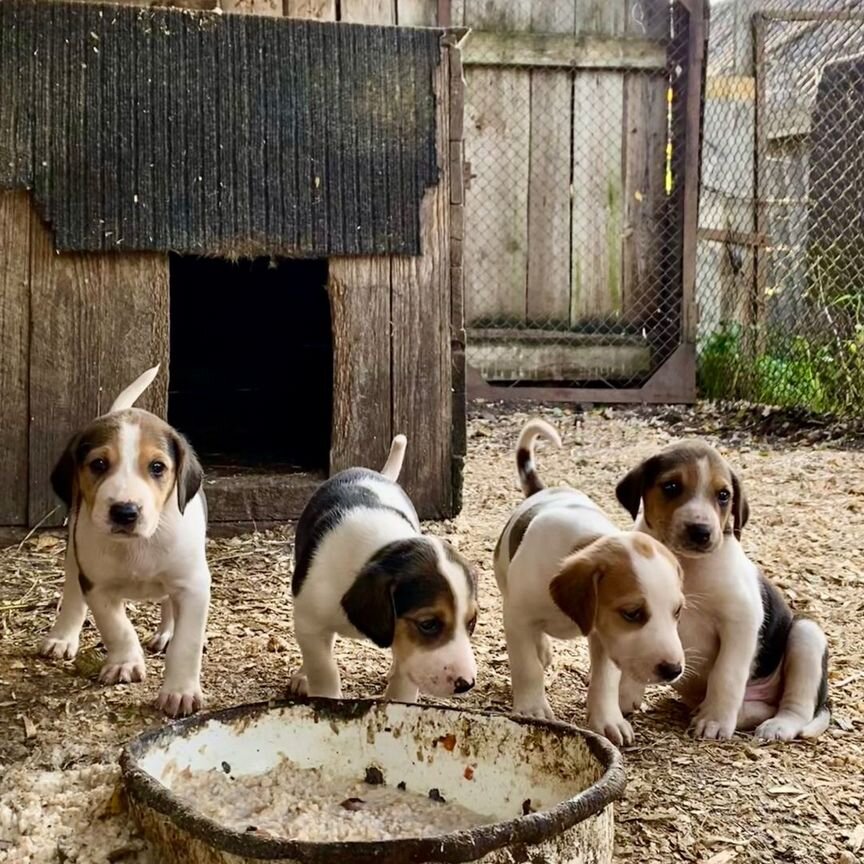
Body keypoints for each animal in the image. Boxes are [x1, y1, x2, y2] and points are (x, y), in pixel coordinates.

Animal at [39, 364, 210, 716]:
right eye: (98, 464)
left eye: (157, 467)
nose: (125, 511)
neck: (137, 546)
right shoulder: (96, 585)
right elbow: (116, 627)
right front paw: (125, 663)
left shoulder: (194, 585)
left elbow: (187, 644)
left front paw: (180, 691)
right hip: (74, 558)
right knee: (73, 597)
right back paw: (62, 636)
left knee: (169, 605)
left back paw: (166, 633)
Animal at [290, 436, 480, 704]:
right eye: (428, 624)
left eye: (471, 622)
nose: (466, 684)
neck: (383, 547)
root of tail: (380, 475)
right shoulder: (309, 623)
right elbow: (323, 669)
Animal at [492, 418, 688, 744]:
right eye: (632, 613)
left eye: (678, 612)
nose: (673, 670)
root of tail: (541, 491)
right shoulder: (517, 618)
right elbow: (527, 666)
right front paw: (533, 709)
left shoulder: (606, 635)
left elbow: (605, 680)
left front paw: (607, 720)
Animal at [616, 442, 832, 740]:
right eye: (671, 487)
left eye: (723, 495)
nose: (701, 531)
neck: (686, 564)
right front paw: (622, 700)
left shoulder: (741, 621)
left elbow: (726, 675)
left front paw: (715, 721)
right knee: (759, 708)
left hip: (806, 634)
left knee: (796, 706)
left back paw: (777, 726)